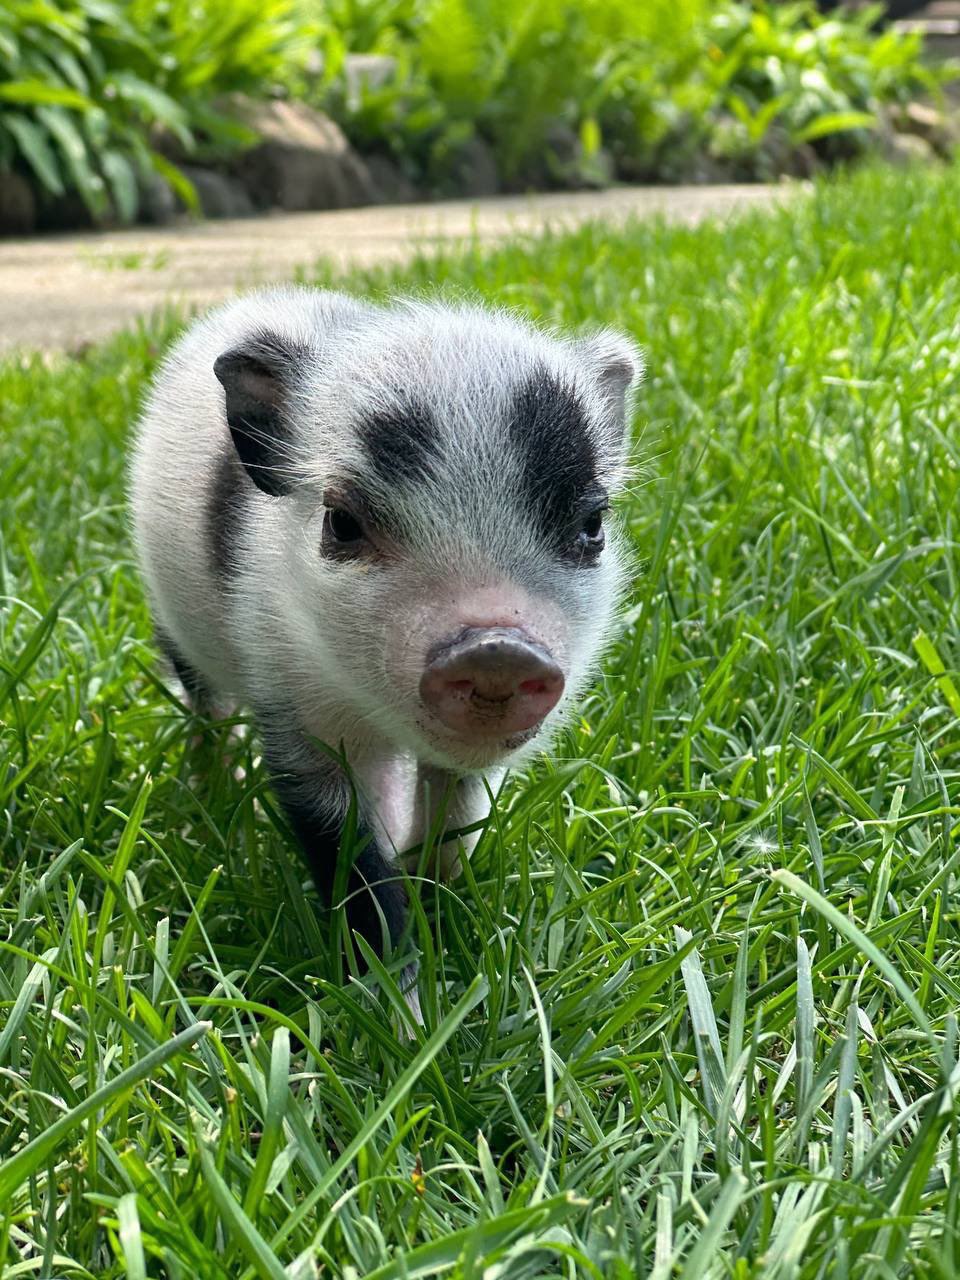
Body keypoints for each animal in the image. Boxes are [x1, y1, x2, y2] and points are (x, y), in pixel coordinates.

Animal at [129, 285, 641, 1008]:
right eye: (341, 522)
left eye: (592, 523)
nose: (496, 648)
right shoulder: (296, 707)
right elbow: (351, 857)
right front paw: (401, 1003)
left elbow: (457, 815)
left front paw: (446, 909)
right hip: (172, 626)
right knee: (205, 705)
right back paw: (218, 786)